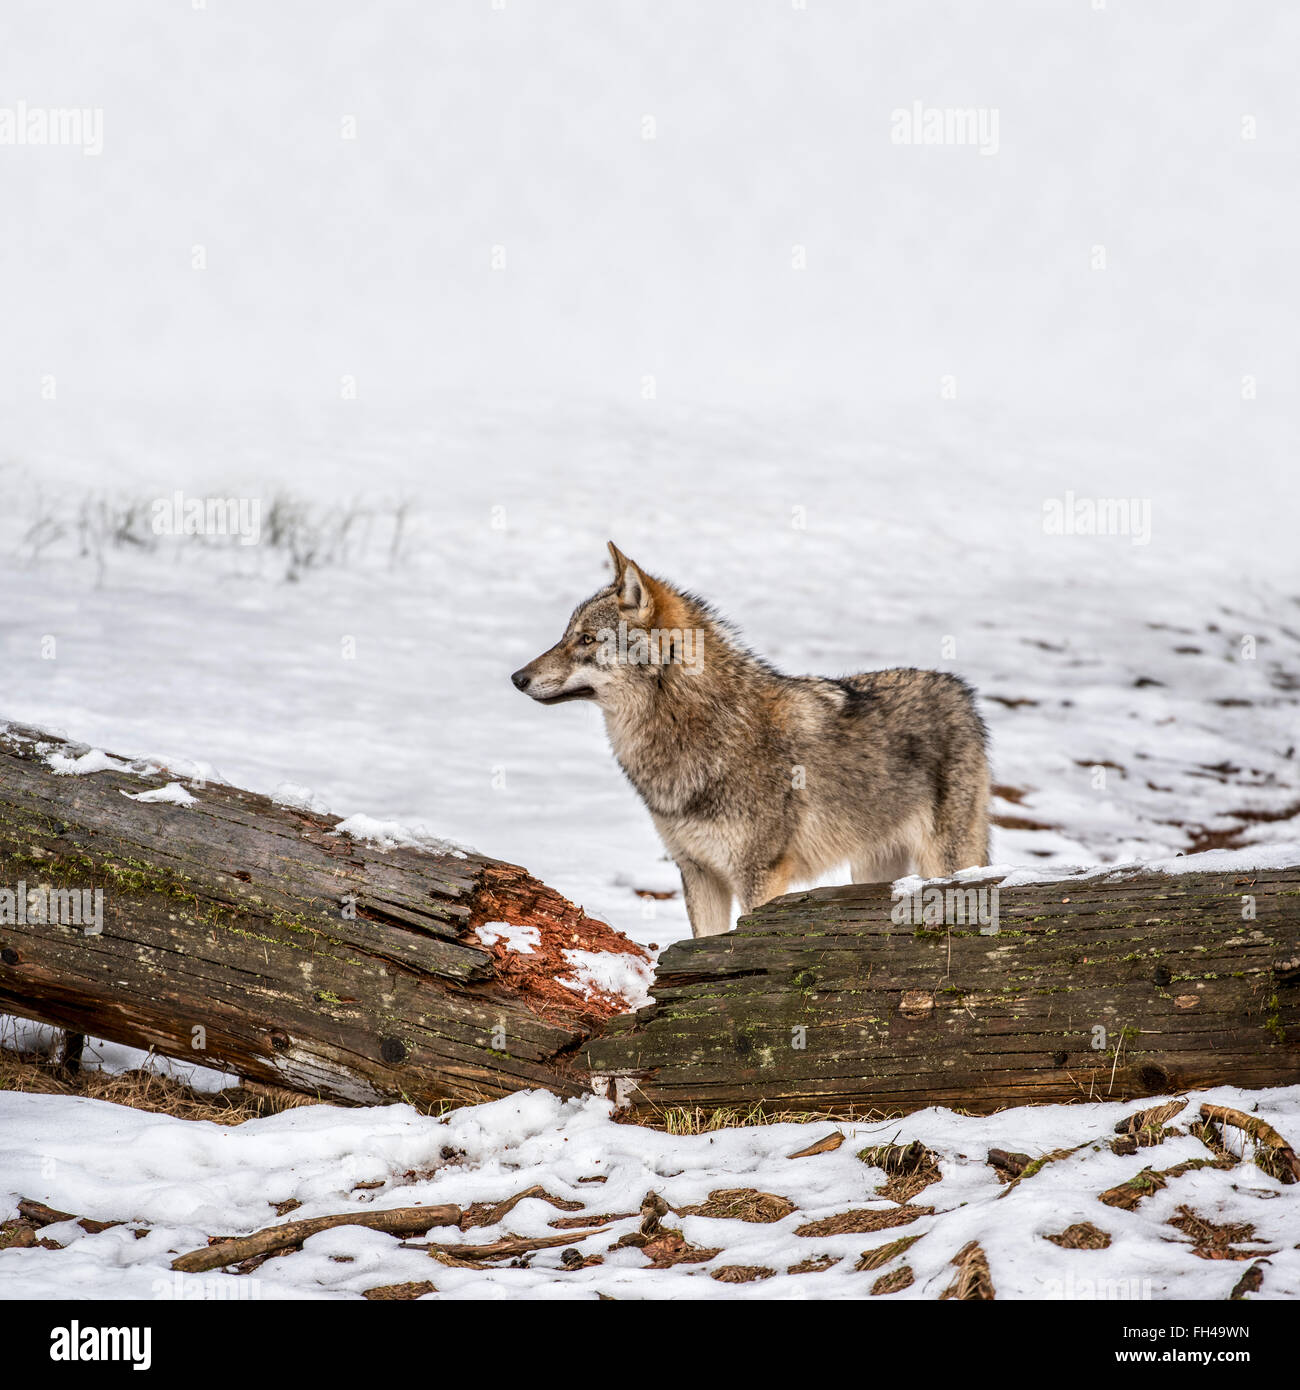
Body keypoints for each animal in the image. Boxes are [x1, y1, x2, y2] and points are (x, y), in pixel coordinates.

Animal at [511, 544, 990, 938]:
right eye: (566, 635)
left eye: (586, 639)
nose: (517, 678)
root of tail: (962, 692)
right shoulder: (698, 872)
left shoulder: (760, 875)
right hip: (870, 869)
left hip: (947, 860)